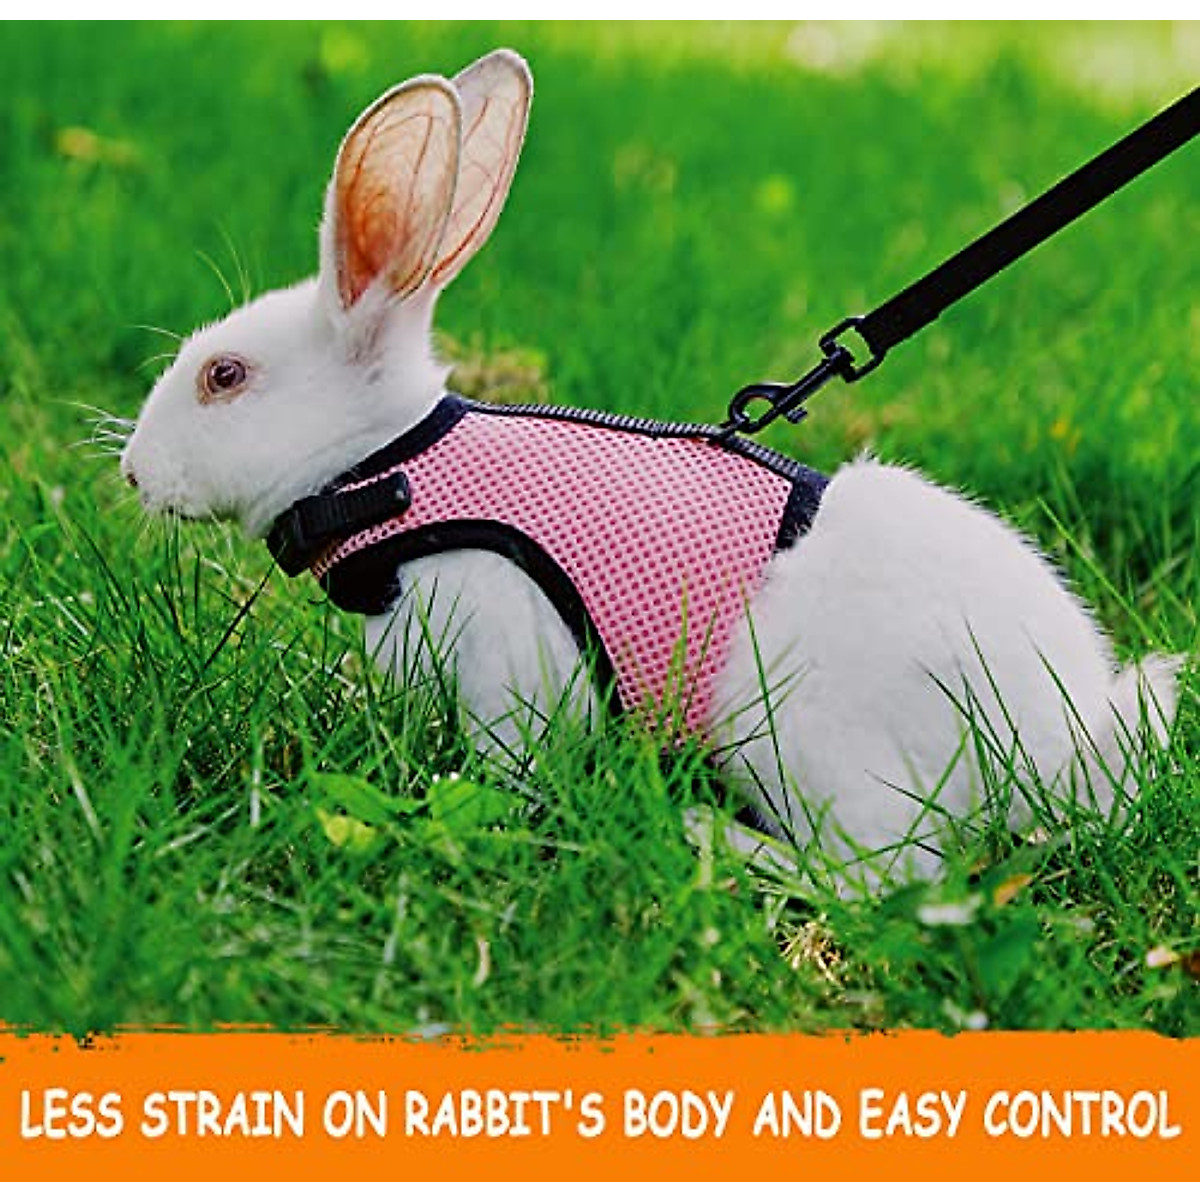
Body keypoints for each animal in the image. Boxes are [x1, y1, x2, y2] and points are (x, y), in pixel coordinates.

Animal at [120, 49, 1181, 887]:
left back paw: (712, 836)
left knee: (878, 876)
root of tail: (1064, 752)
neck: (393, 467)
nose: (132, 471)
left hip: (799, 731)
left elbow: (514, 758)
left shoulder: (509, 655)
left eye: (224, 377)